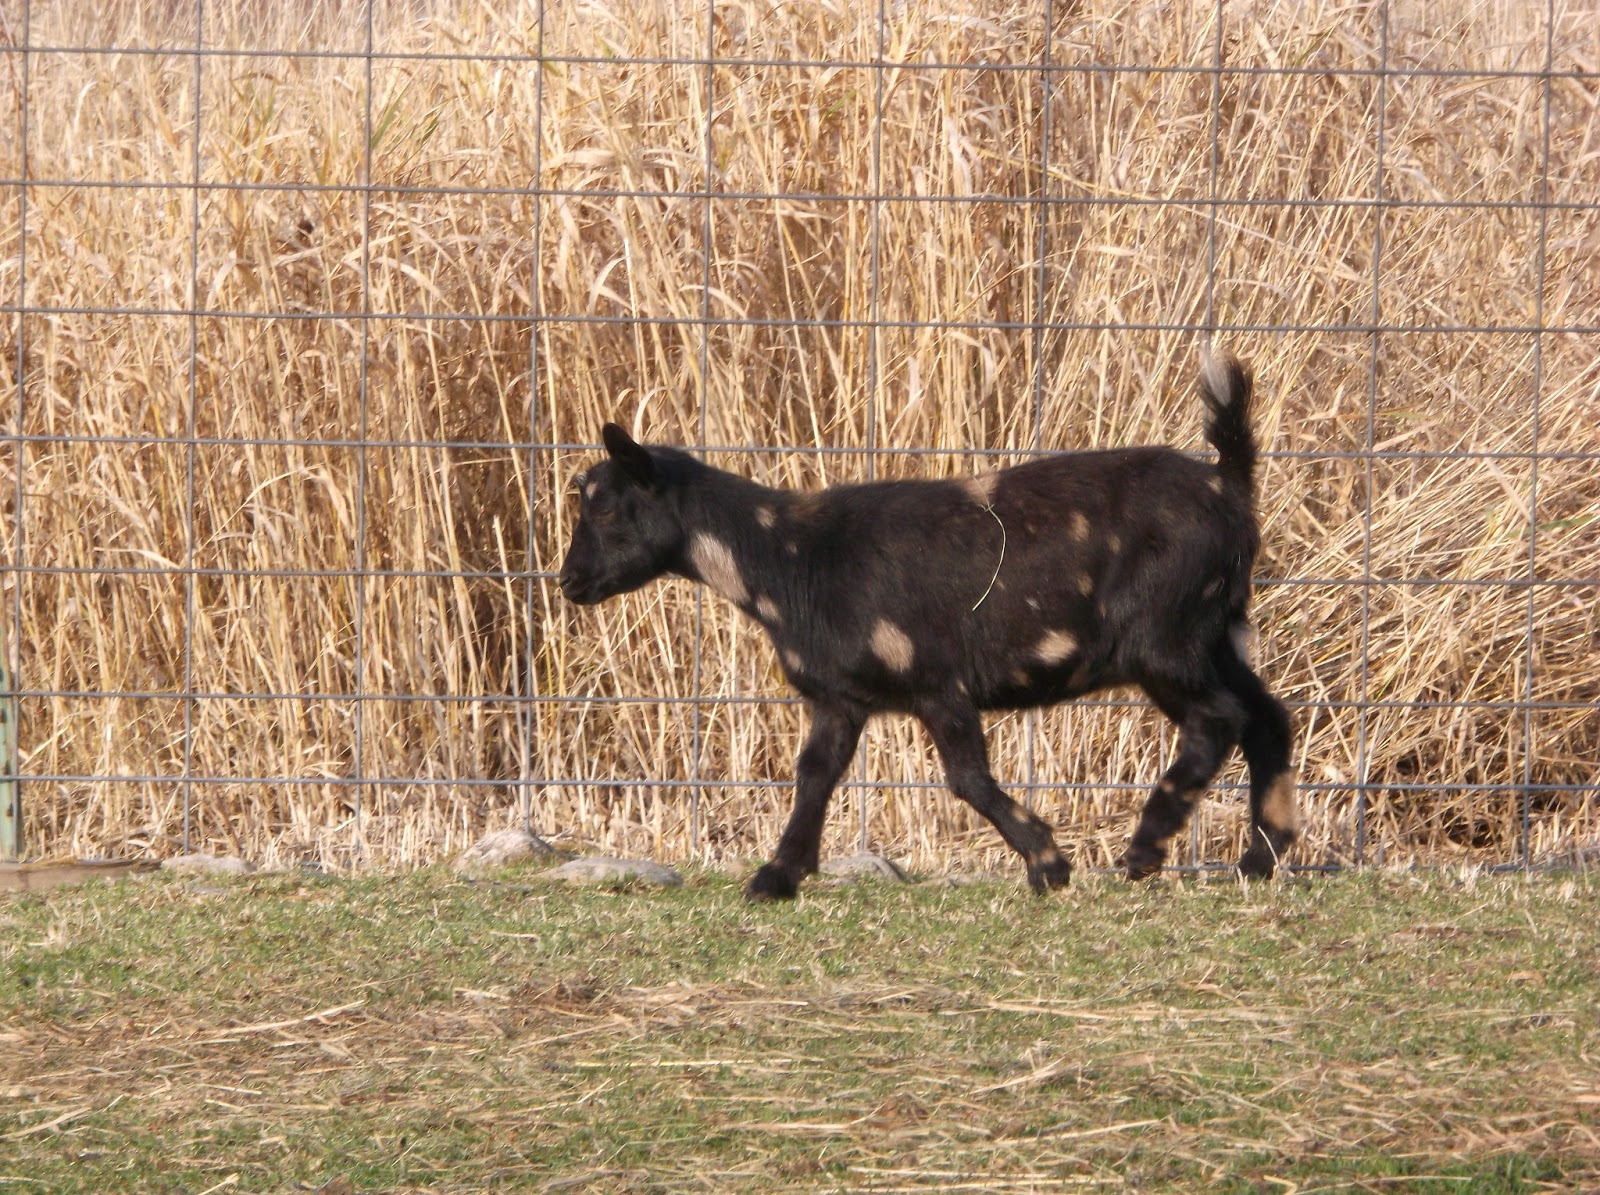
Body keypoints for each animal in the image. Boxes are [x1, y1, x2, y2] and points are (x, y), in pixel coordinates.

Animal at [558, 353, 1297, 900]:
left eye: (610, 511)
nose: (569, 583)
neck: (788, 557)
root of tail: (1229, 484)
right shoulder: (841, 697)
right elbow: (815, 775)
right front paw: (776, 876)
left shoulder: (938, 681)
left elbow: (966, 779)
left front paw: (1048, 863)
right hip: (1217, 632)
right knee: (1269, 717)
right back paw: (1263, 855)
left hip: (1161, 638)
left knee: (1218, 719)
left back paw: (1146, 849)